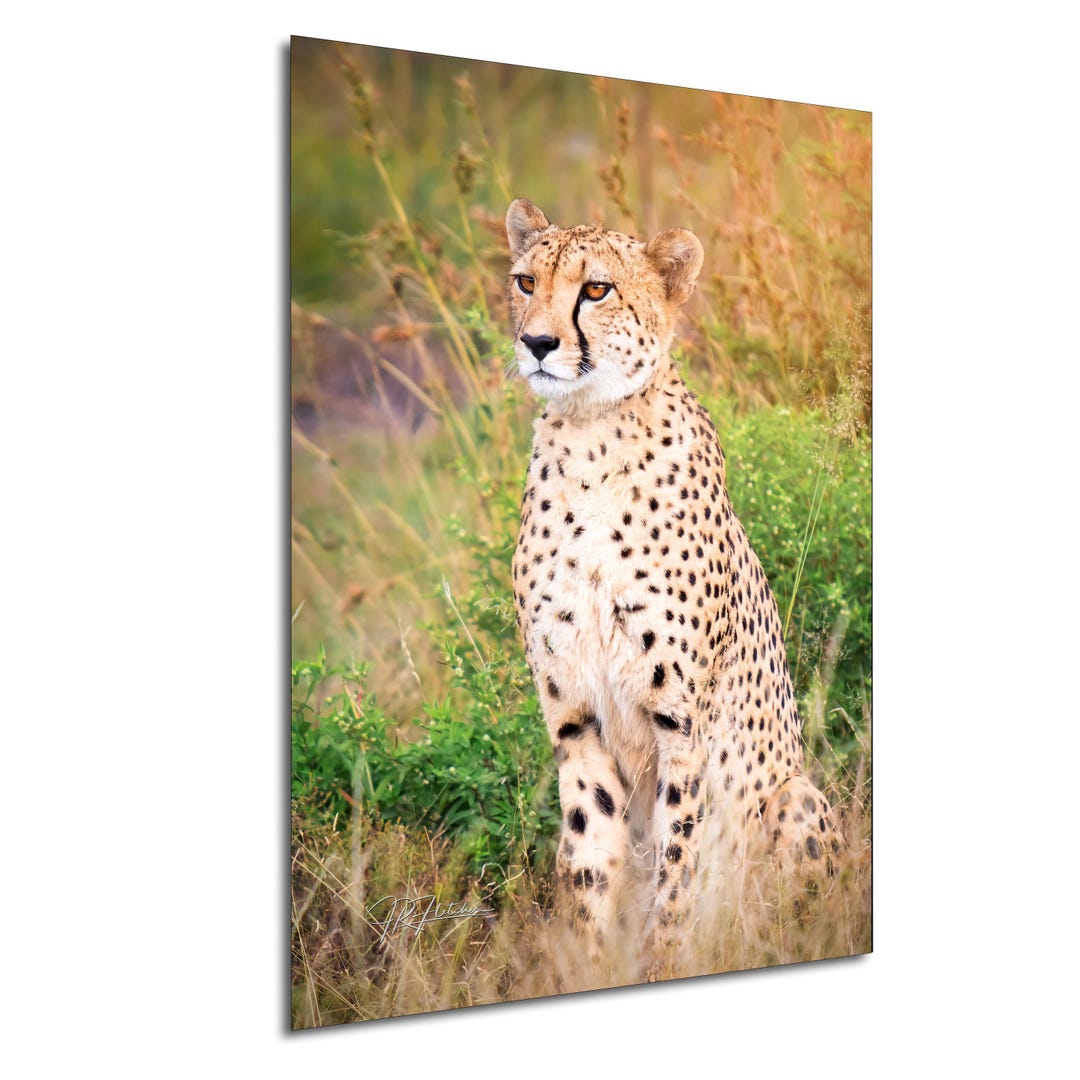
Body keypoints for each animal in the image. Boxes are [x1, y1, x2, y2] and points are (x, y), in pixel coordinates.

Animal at [506, 198, 841, 975]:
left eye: (595, 290)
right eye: (524, 281)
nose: (536, 342)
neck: (591, 435)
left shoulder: (682, 725)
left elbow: (678, 868)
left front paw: (662, 964)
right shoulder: (575, 721)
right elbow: (590, 860)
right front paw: (592, 966)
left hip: (796, 798)